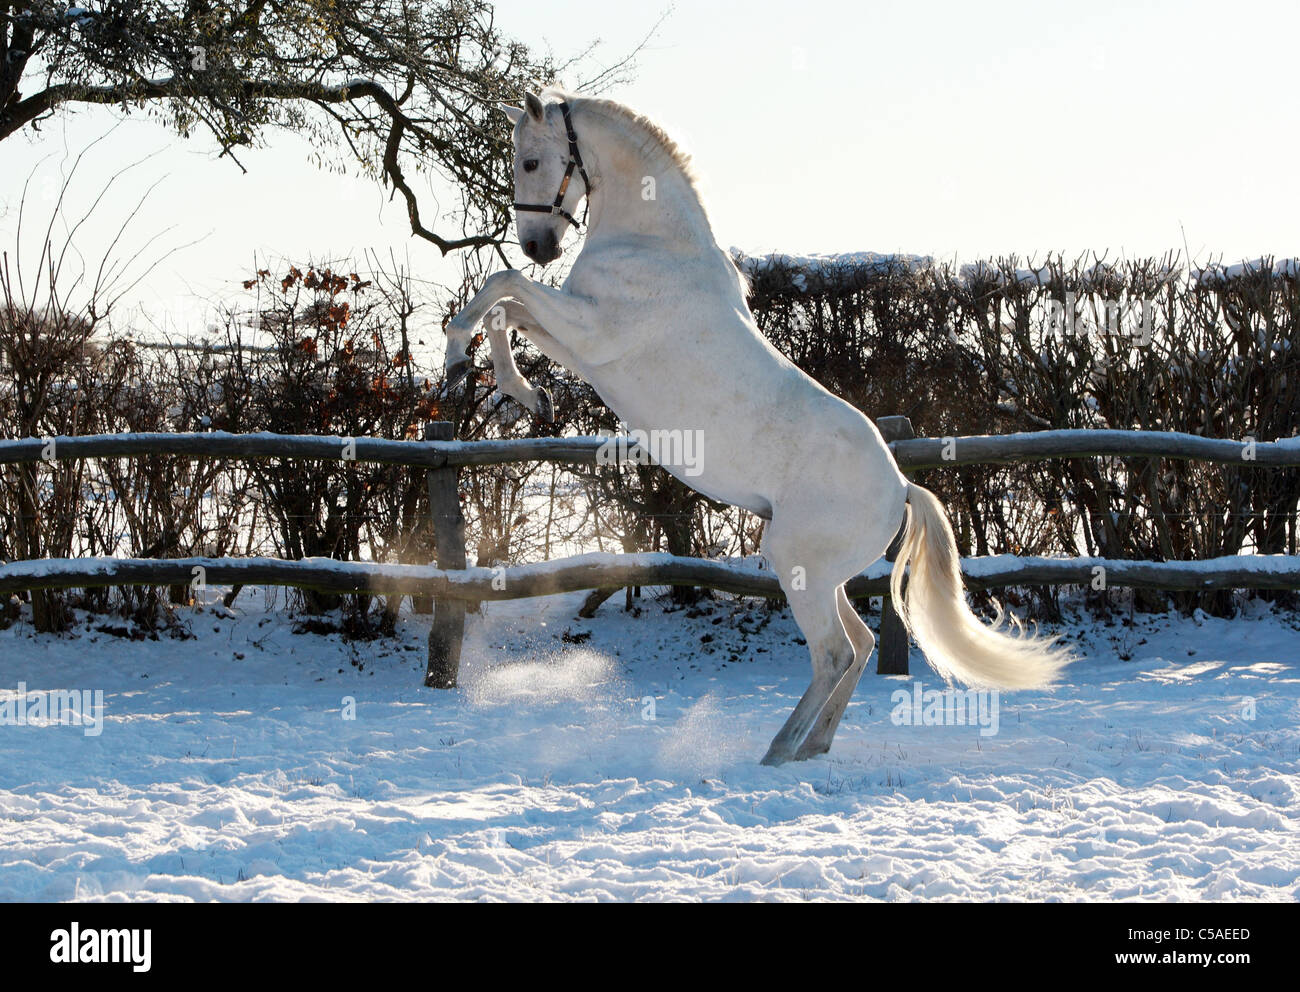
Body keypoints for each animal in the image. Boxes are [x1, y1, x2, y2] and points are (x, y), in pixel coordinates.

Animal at [444, 88, 1072, 765]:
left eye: (531, 162)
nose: (538, 247)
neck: (655, 244)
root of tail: (902, 488)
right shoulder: (575, 340)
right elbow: (509, 309)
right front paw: (521, 390)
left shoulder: (591, 333)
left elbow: (503, 289)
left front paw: (468, 360)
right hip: (821, 576)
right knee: (859, 645)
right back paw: (811, 746)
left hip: (801, 567)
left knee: (835, 653)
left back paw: (779, 751)